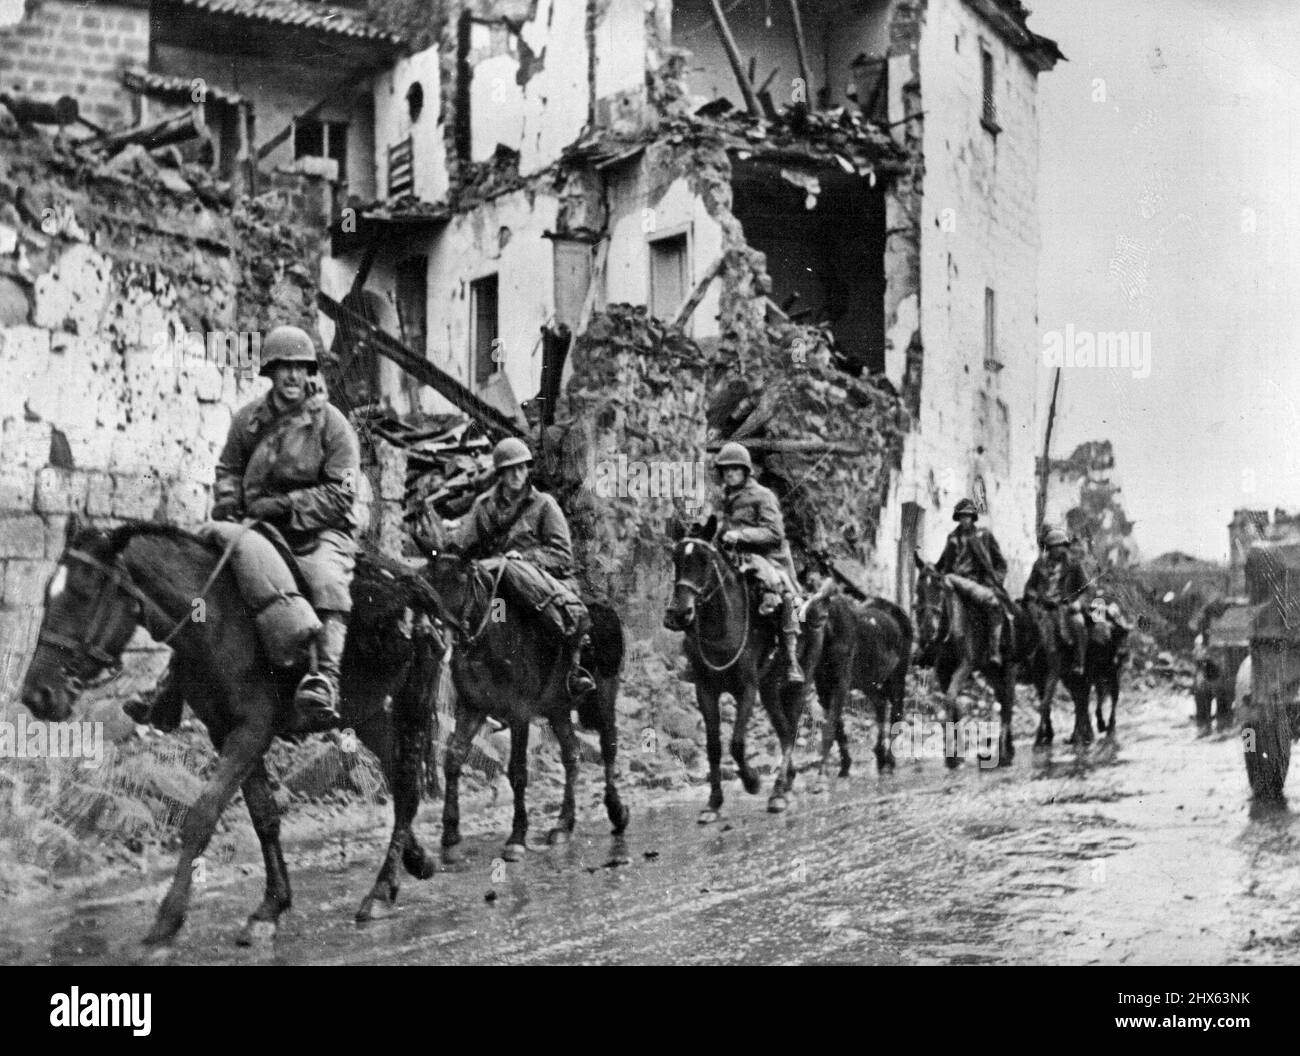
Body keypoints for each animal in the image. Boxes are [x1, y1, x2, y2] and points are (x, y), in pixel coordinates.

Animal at [17, 514, 444, 946]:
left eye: (84, 592)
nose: (37, 694)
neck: (218, 622)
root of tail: (417, 588)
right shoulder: (224, 731)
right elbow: (264, 819)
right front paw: (271, 907)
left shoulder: (251, 731)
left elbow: (203, 814)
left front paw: (168, 917)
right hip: (367, 713)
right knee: (400, 779)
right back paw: (415, 861)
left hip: (412, 698)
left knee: (407, 784)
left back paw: (380, 892)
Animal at [670, 522, 800, 821]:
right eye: (675, 559)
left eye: (704, 561)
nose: (679, 613)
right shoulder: (705, 690)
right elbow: (714, 747)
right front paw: (713, 803)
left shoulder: (746, 690)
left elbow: (737, 743)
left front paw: (752, 781)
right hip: (769, 688)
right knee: (785, 730)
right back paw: (784, 787)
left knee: (791, 730)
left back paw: (777, 792)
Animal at [800, 593, 915, 785]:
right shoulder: (824, 689)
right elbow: (837, 728)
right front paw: (844, 766)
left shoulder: (841, 685)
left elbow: (830, 729)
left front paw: (822, 773)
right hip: (868, 682)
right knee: (881, 704)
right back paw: (880, 757)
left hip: (898, 675)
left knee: (896, 713)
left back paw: (889, 762)